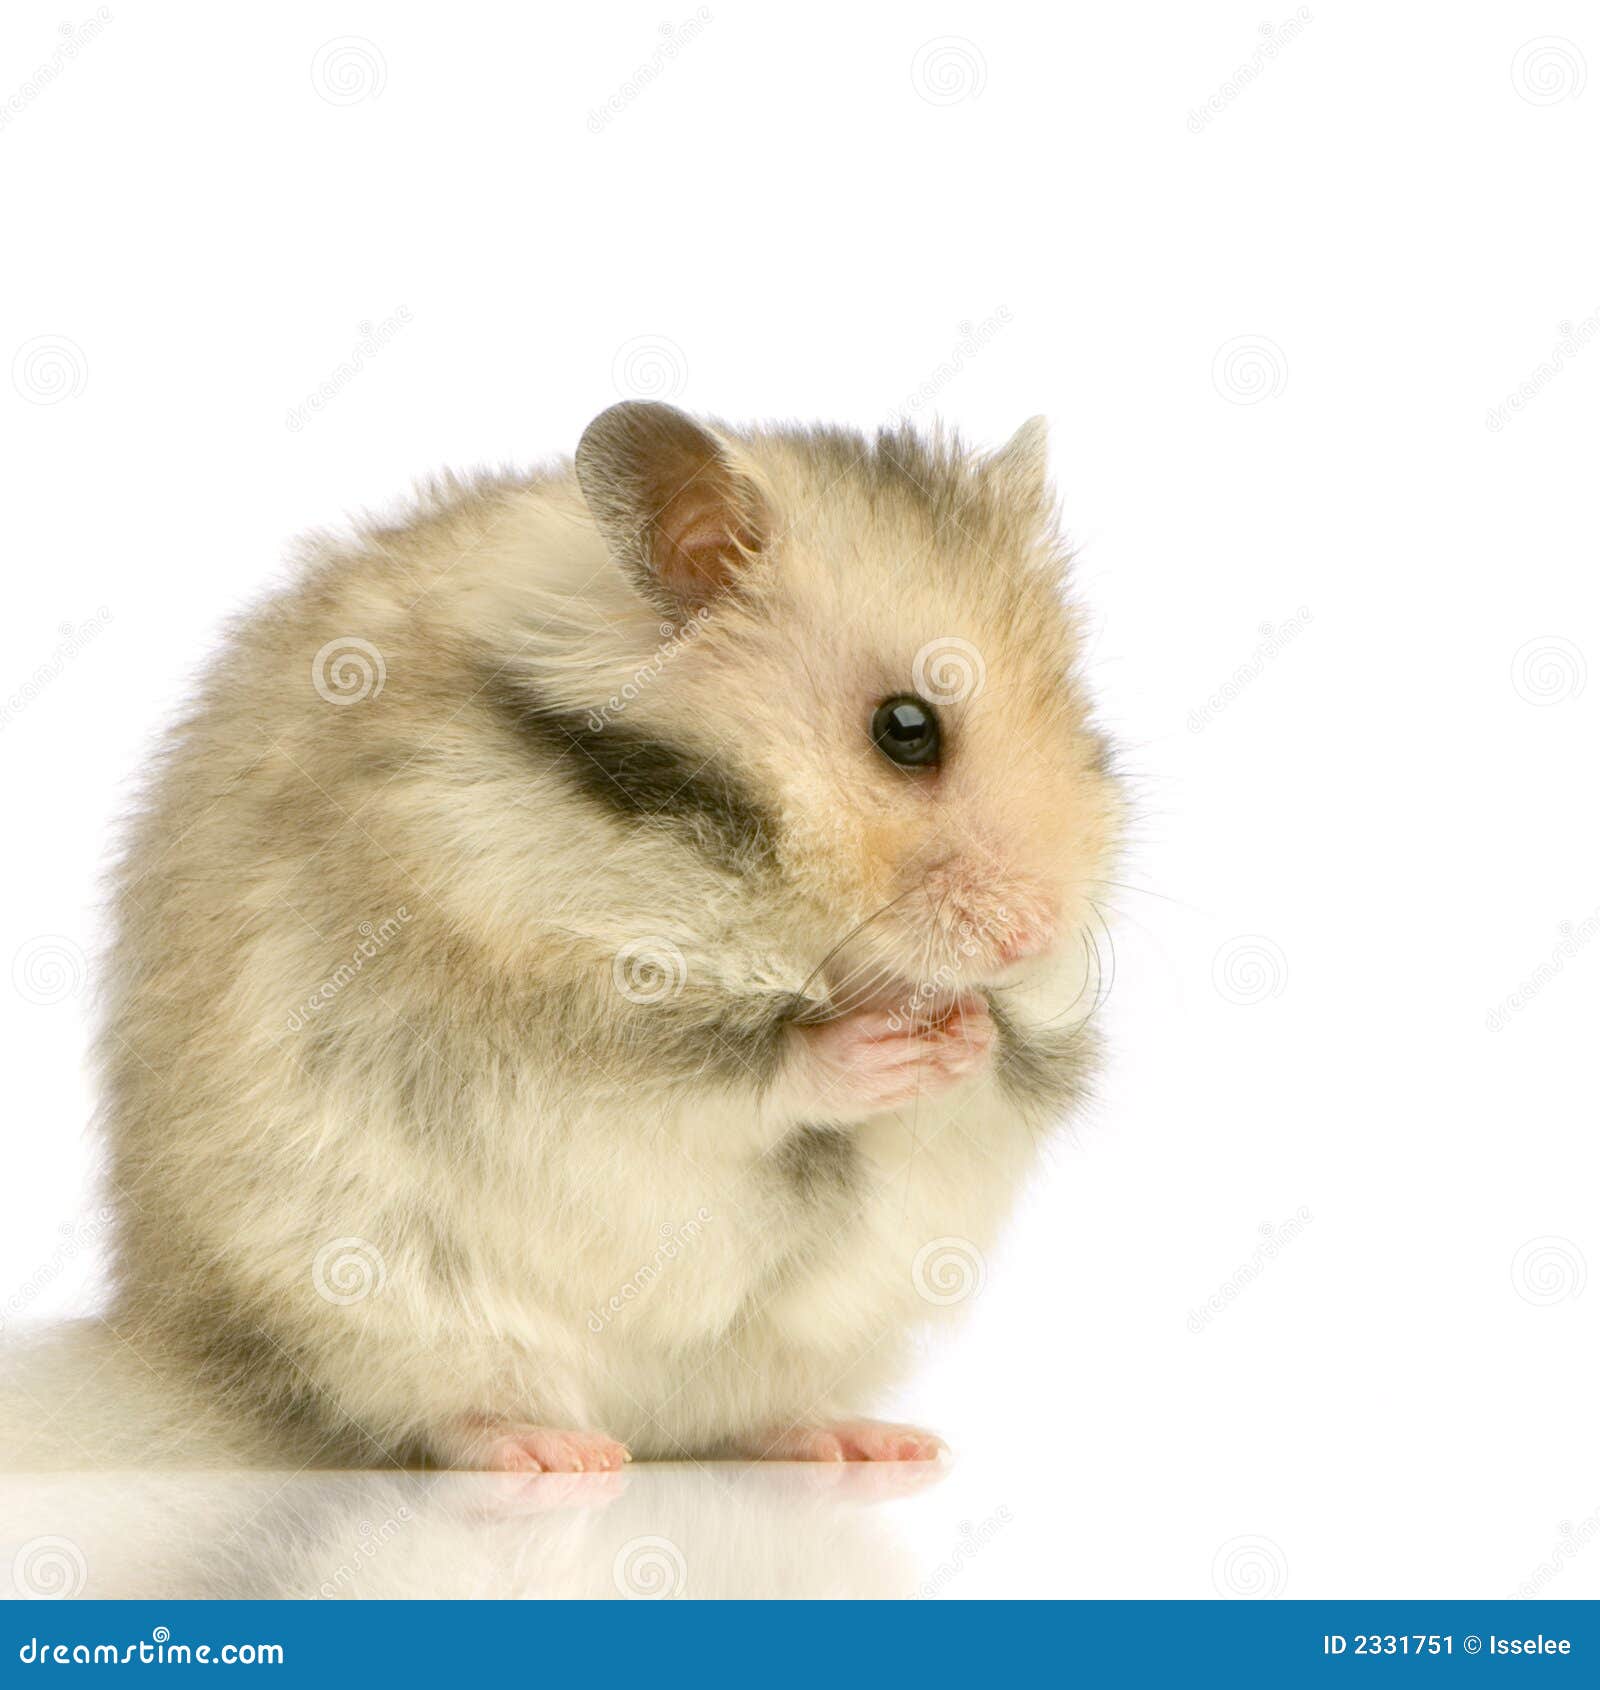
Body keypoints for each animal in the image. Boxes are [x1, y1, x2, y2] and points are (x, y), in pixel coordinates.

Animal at [96, 402, 1122, 1471]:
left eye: (1085, 724)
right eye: (906, 728)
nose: (1034, 935)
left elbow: (989, 1084)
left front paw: (968, 1034)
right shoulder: (556, 1017)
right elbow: (751, 1074)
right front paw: (884, 1042)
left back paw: (870, 1443)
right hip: (370, 1299)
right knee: (429, 1409)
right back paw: (557, 1457)